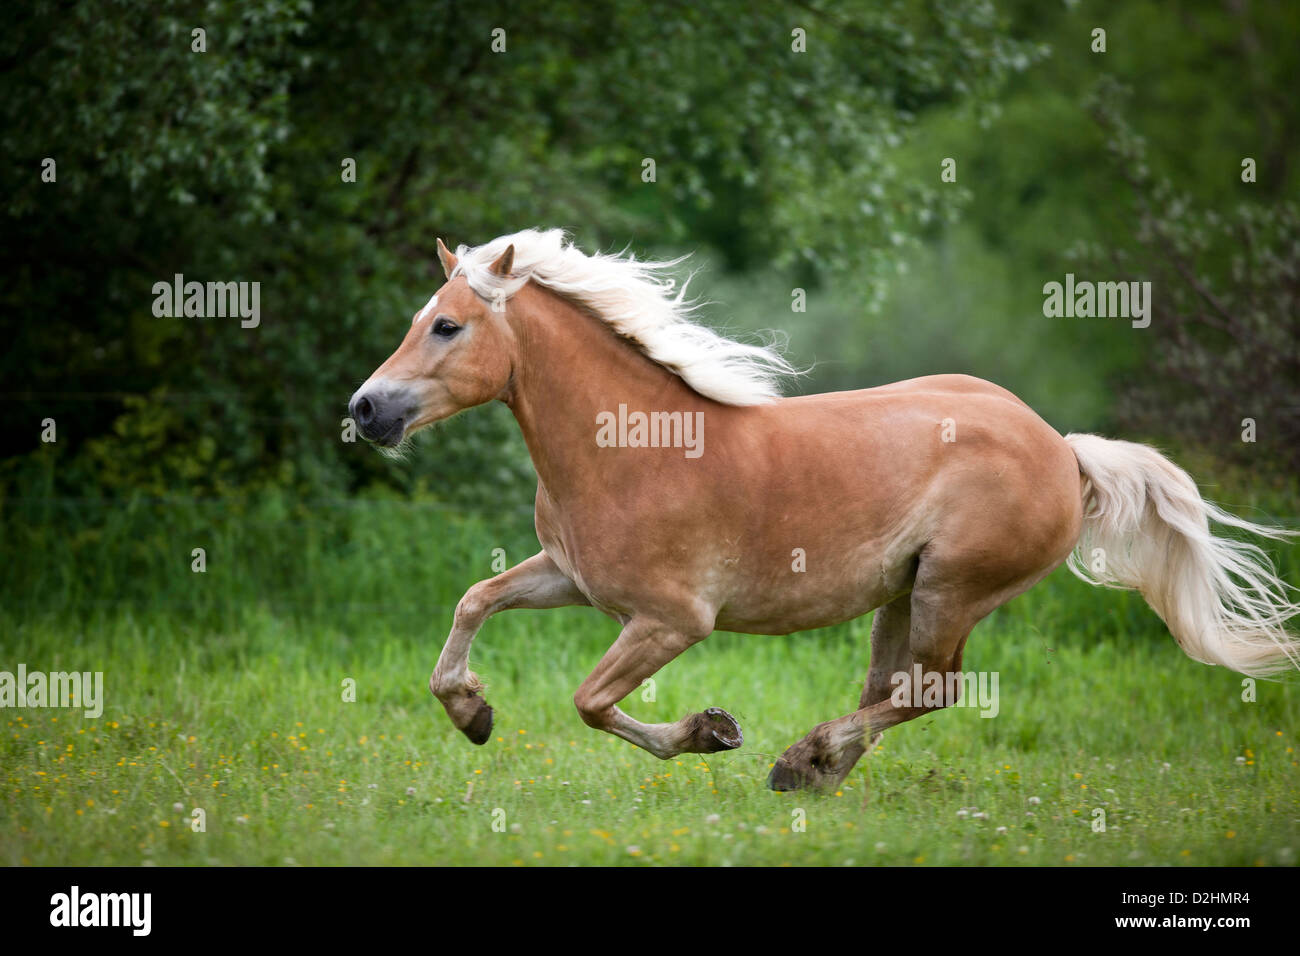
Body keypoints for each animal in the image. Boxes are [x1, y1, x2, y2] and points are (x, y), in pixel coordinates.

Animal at [348, 228, 1300, 791]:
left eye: (446, 327)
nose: (366, 410)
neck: (631, 446)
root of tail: (1061, 450)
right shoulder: (571, 580)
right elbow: (475, 601)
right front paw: (471, 713)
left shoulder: (670, 621)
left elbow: (587, 701)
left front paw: (711, 732)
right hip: (902, 594)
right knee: (893, 688)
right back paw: (818, 766)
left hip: (953, 590)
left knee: (932, 689)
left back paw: (804, 758)